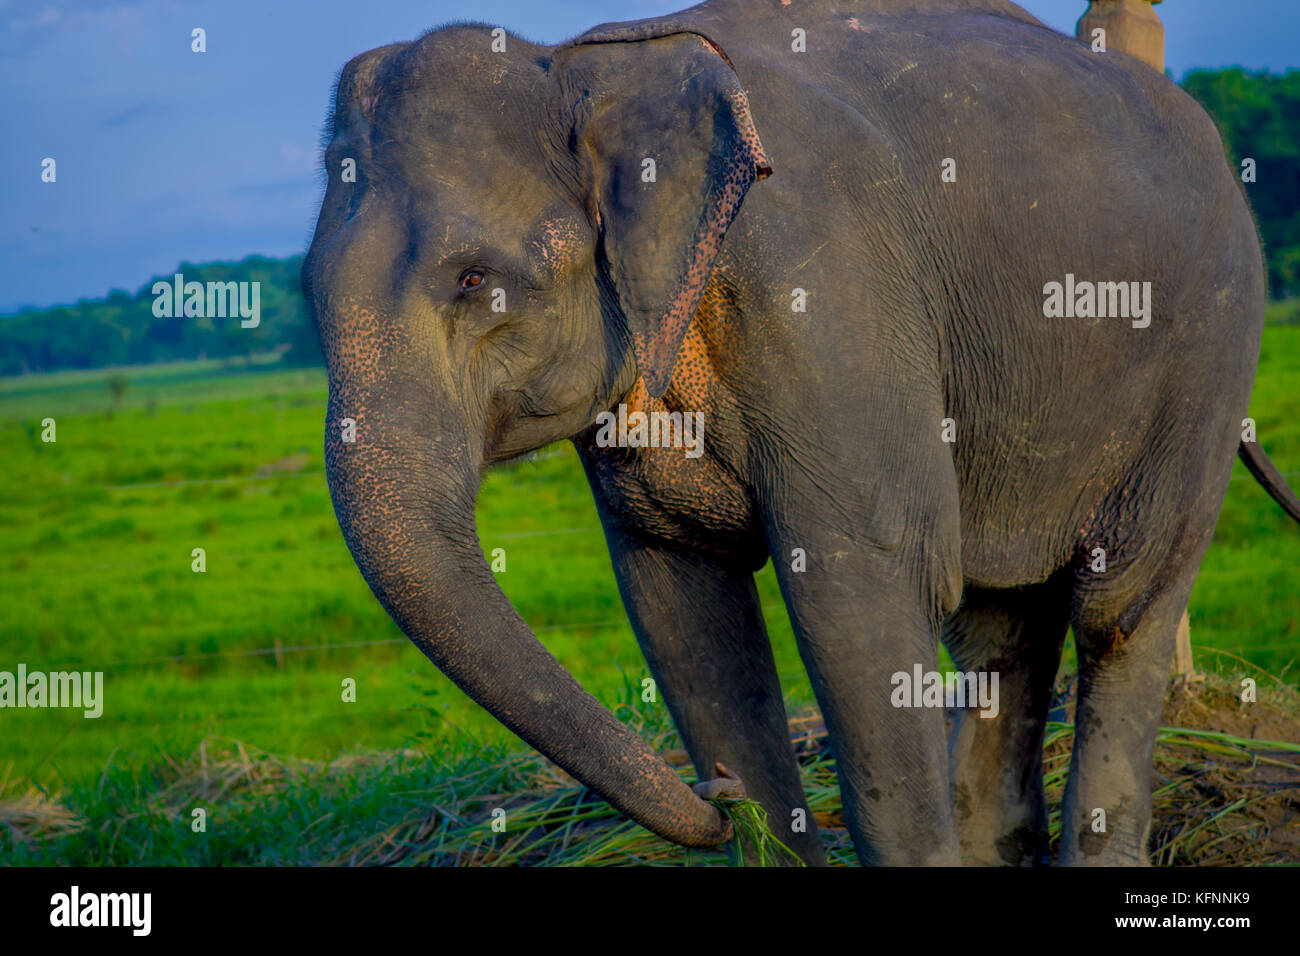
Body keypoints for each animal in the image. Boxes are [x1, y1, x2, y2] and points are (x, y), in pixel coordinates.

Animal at [302, 0, 1300, 866]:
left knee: (1120, 609)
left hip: (1209, 356)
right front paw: (756, 809)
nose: (715, 793)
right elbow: (683, 607)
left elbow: (869, 582)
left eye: (475, 281)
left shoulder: (827, 297)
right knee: (1001, 623)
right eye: (307, 291)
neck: (582, 63)